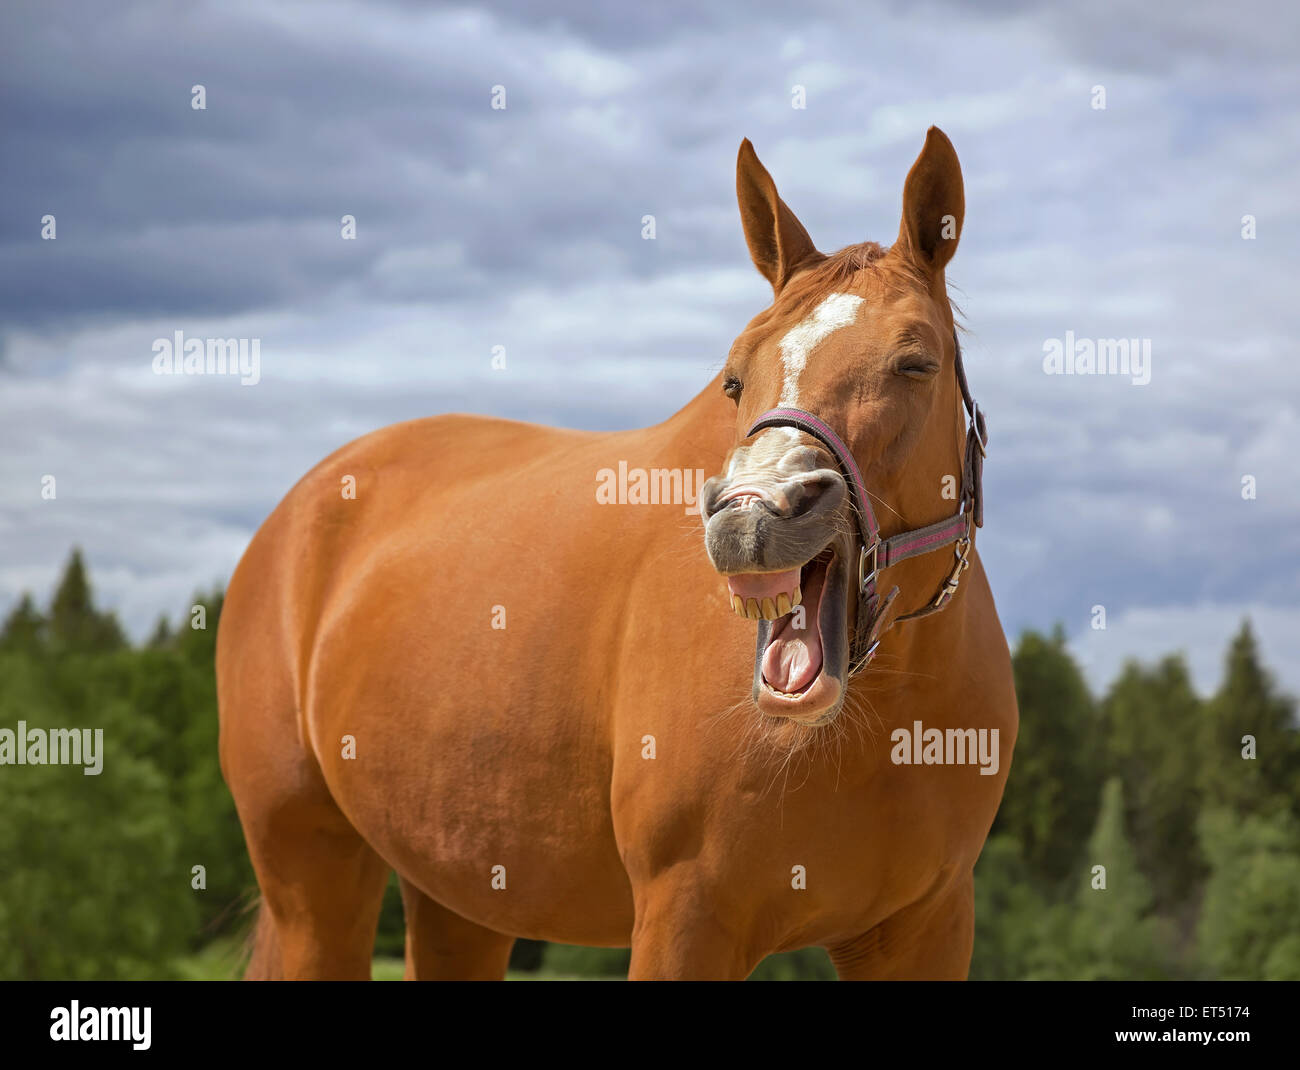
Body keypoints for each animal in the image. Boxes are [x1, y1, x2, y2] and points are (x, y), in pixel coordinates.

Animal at [216, 126, 1018, 980]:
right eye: (735, 379)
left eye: (915, 362)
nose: (751, 516)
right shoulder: (684, 917)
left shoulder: (925, 928)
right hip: (311, 881)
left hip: (459, 889)